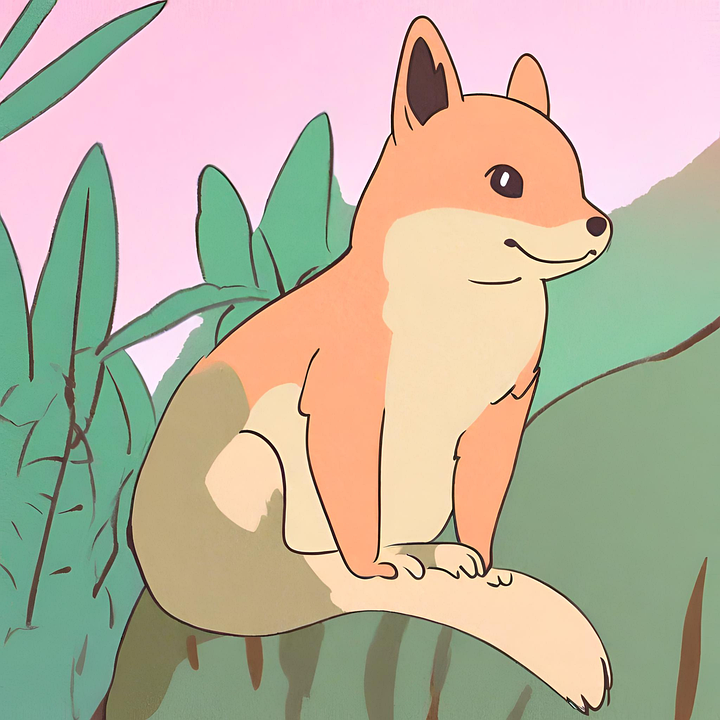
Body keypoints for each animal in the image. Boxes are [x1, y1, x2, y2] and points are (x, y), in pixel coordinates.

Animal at [130, 16, 613, 713]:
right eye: (506, 181)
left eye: (574, 174)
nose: (599, 225)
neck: (460, 321)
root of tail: (161, 571)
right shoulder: (344, 408)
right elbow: (357, 519)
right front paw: (373, 570)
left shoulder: (501, 413)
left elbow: (481, 509)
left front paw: (480, 565)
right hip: (260, 458)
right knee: (322, 549)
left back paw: (430, 558)